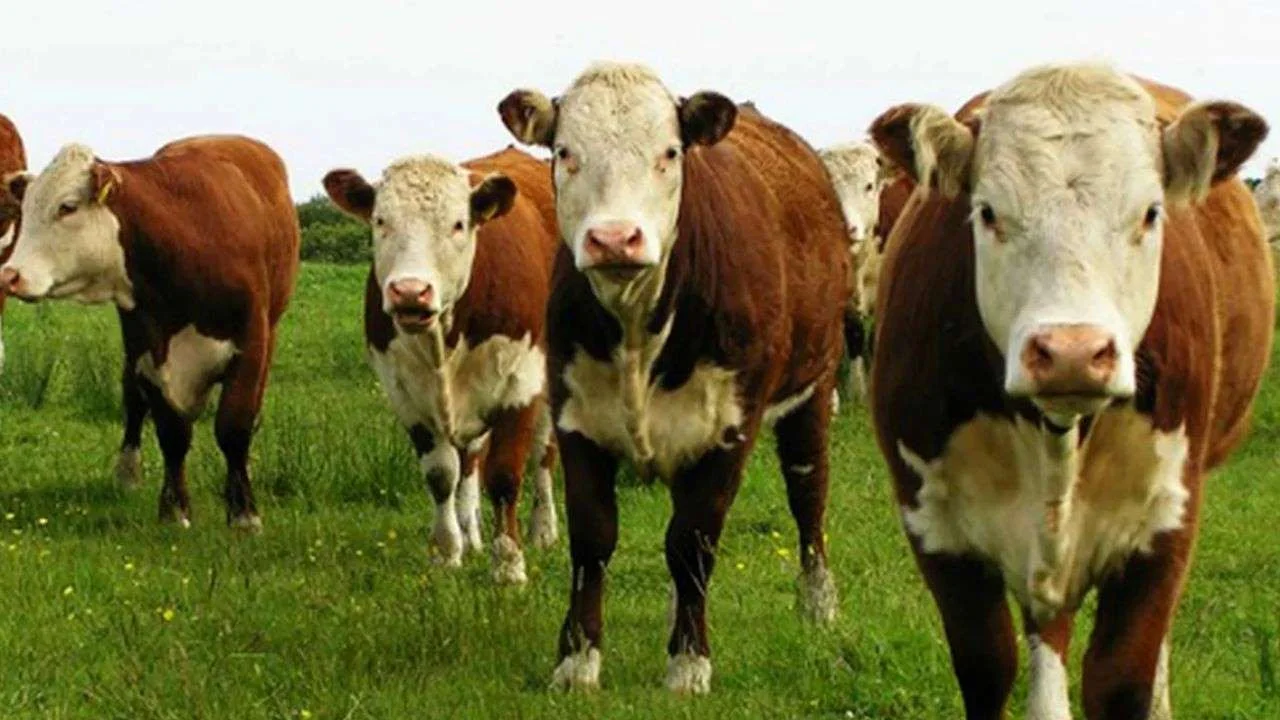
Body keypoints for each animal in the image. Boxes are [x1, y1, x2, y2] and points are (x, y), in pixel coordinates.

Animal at [1, 136, 301, 531]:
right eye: (26, 208)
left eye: (67, 207)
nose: (10, 276)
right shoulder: (149, 351)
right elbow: (171, 432)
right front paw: (174, 510)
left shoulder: (250, 345)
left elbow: (234, 427)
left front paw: (244, 515)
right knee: (133, 401)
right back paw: (127, 473)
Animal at [321, 146, 560, 583]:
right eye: (381, 220)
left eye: (458, 224)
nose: (409, 292)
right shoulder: (406, 393)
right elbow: (441, 475)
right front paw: (447, 552)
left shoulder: (519, 383)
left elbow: (506, 475)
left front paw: (508, 564)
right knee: (470, 460)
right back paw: (471, 534)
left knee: (542, 452)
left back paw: (543, 529)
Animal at [498, 62, 850, 694]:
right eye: (565, 152)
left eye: (669, 152)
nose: (614, 238)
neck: (637, 321)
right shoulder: (577, 417)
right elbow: (594, 539)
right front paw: (577, 658)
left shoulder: (730, 429)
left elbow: (692, 542)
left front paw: (688, 662)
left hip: (814, 386)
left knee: (809, 495)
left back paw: (818, 603)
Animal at [868, 63, 1271, 719]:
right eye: (987, 213)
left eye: (1150, 213)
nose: (1072, 353)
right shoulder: (935, 528)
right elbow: (987, 667)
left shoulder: (1165, 528)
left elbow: (1123, 679)